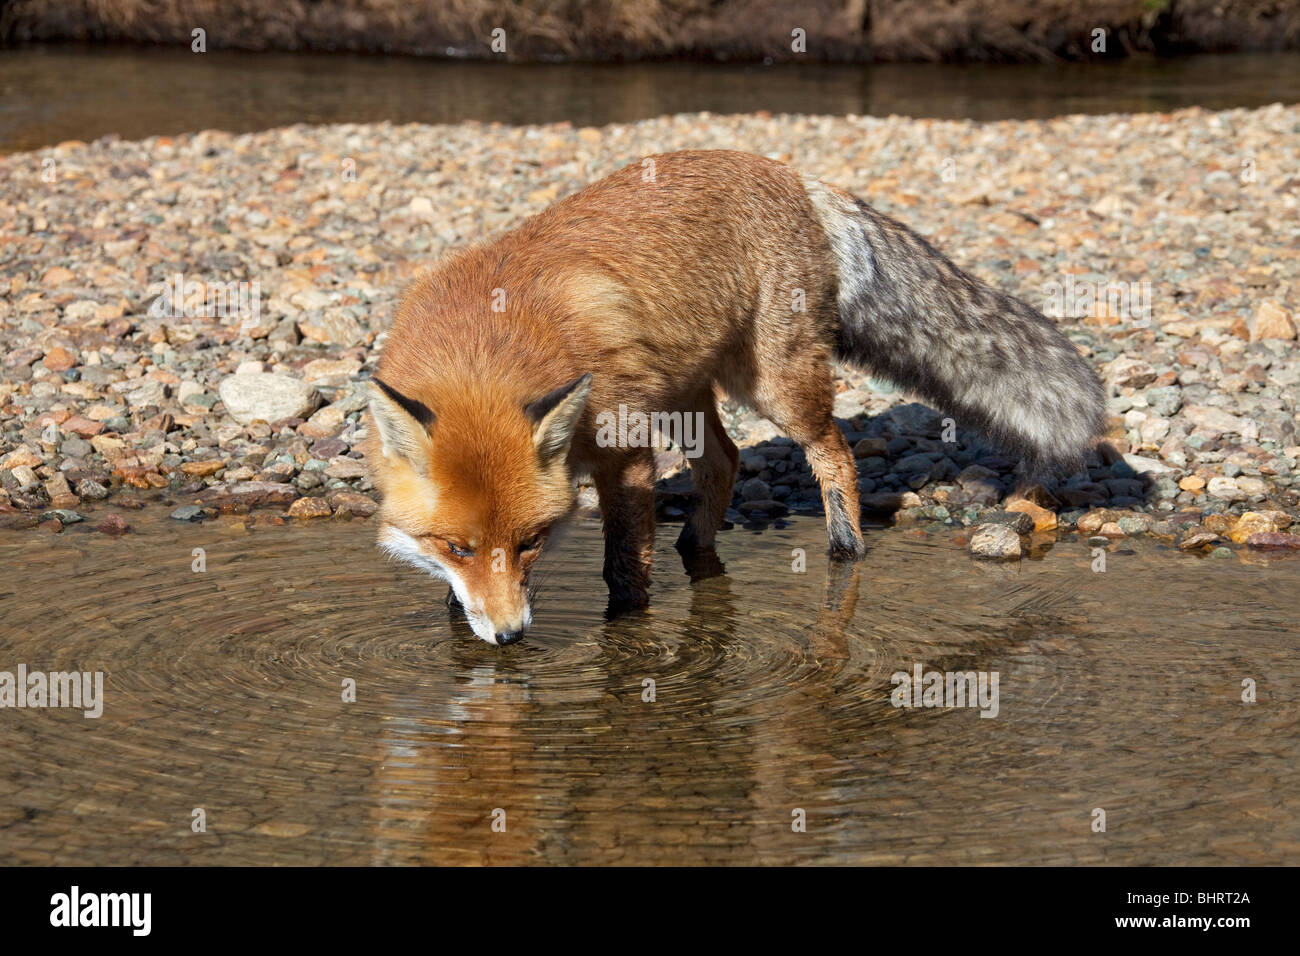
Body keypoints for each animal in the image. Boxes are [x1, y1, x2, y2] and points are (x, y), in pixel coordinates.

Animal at [366, 149, 1105, 646]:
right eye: (456, 547)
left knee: (834, 452)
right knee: (725, 461)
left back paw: (843, 546)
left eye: (532, 541)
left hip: (772, 386)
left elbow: (622, 572)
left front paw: (625, 636)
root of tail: (796, 175)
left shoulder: (625, 456)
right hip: (686, 397)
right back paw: (696, 546)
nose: (513, 637)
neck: (486, 346)